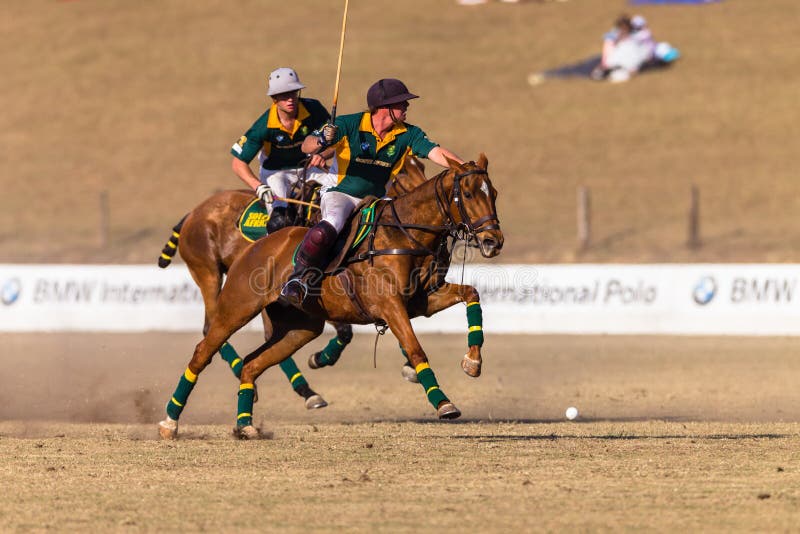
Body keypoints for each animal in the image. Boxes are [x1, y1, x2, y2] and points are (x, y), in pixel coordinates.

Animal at [159, 155, 502, 439]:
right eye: (469, 194)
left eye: (494, 193)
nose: (493, 241)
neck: (403, 235)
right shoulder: (389, 305)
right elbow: (415, 349)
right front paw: (443, 402)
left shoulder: (421, 302)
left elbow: (471, 293)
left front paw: (472, 362)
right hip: (230, 299)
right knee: (203, 349)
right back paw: (170, 422)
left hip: (301, 327)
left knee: (252, 363)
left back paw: (247, 424)